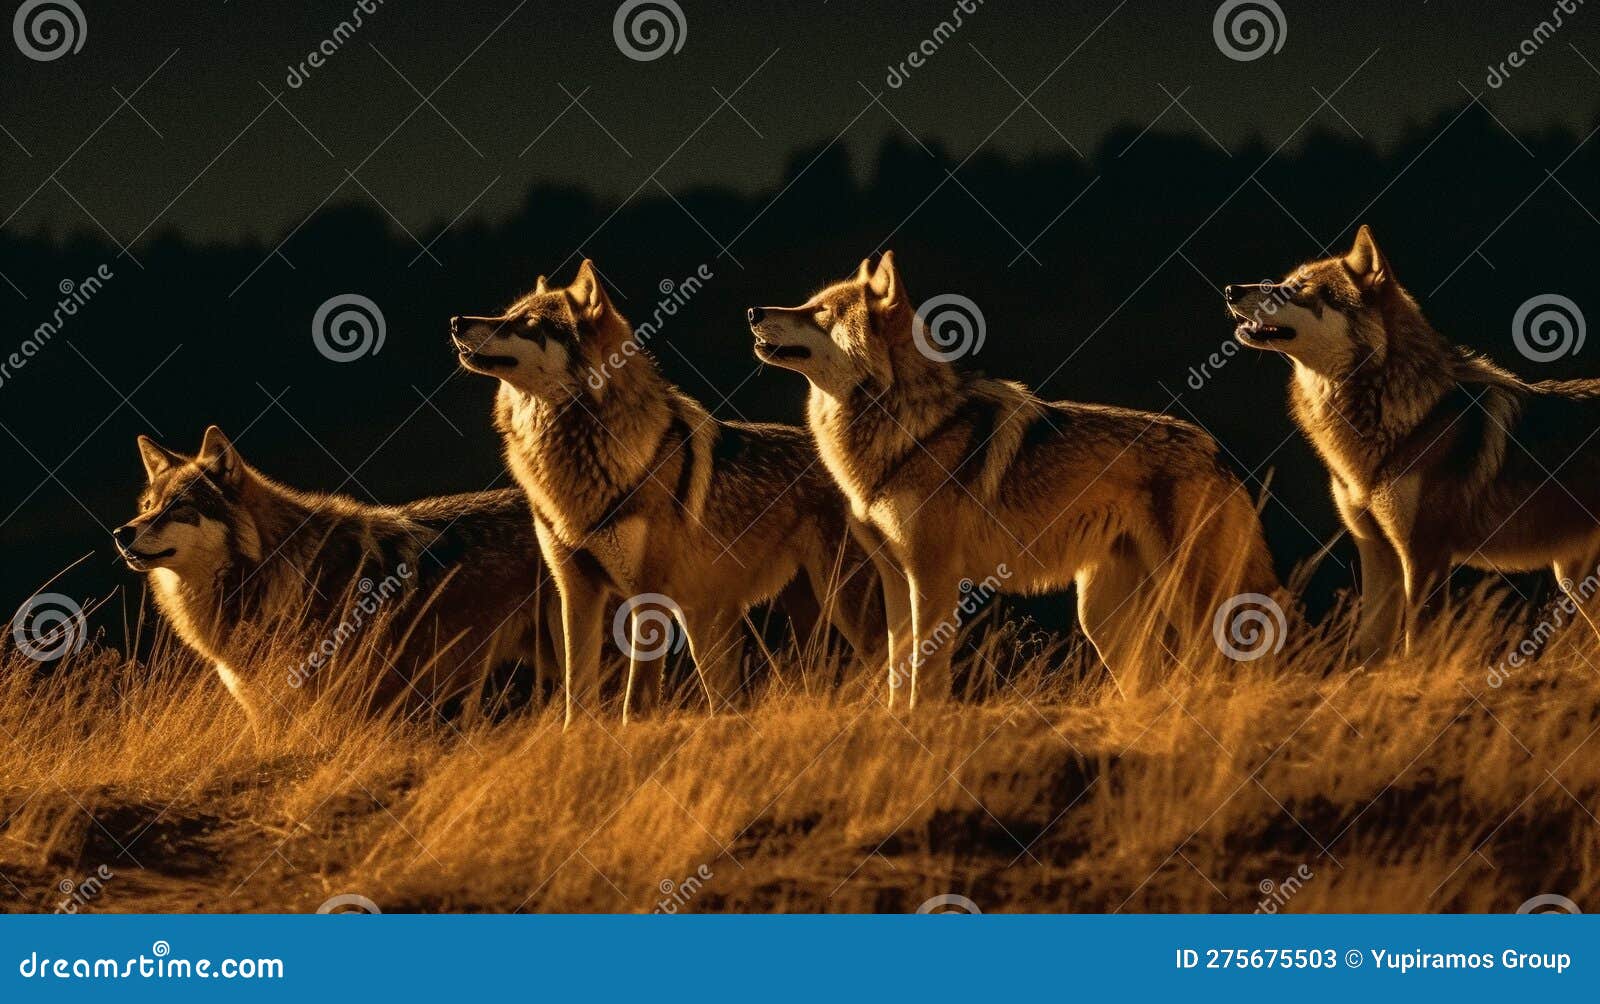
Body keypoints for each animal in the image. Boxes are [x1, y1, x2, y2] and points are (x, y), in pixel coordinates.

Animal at [451, 261, 885, 726]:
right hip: (723, 625)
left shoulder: (647, 598)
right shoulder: (575, 593)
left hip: (838, 605)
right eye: (505, 315)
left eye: (526, 324)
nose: (457, 321)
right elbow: (576, 697)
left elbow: (634, 702)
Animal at [747, 252, 1280, 708]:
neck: (905, 427)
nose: (753, 310)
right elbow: (900, 668)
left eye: (821, 313)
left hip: (1192, 601)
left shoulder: (932, 579)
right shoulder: (896, 578)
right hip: (1103, 618)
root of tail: (1218, 454)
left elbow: (925, 674)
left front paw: (921, 723)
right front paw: (897, 724)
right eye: (807, 305)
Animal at [1227, 225, 1600, 659]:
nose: (1231, 289)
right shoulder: (1378, 554)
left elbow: (1414, 649)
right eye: (1283, 281)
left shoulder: (1425, 557)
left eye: (1298, 288)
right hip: (1573, 577)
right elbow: (1369, 649)